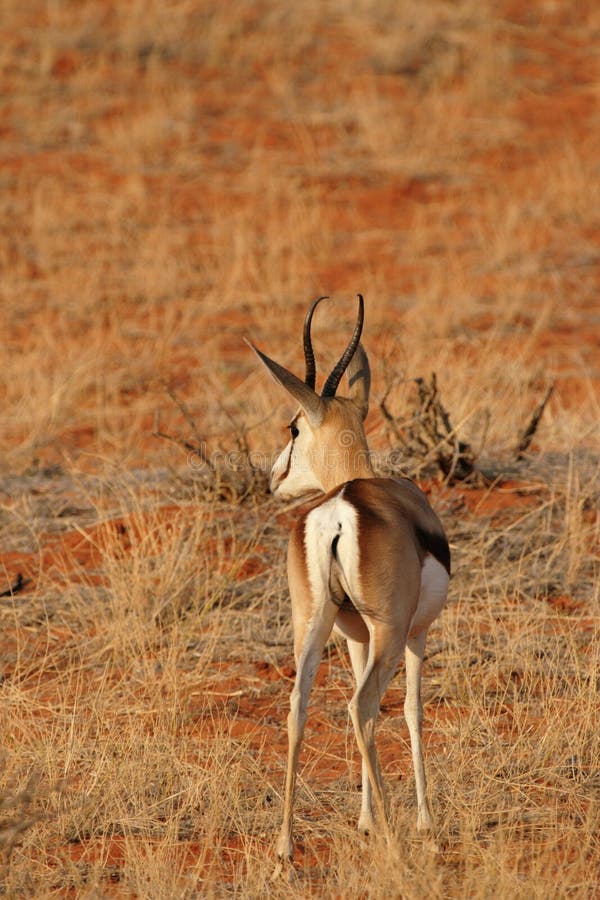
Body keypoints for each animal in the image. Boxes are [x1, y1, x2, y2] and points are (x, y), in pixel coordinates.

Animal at [247, 295, 450, 876]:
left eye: (292, 429)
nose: (272, 478)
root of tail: (338, 508)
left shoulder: (354, 638)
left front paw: (364, 822)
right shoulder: (414, 634)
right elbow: (412, 713)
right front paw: (423, 826)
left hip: (313, 625)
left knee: (299, 707)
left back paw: (284, 850)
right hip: (387, 634)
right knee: (361, 709)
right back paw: (398, 845)